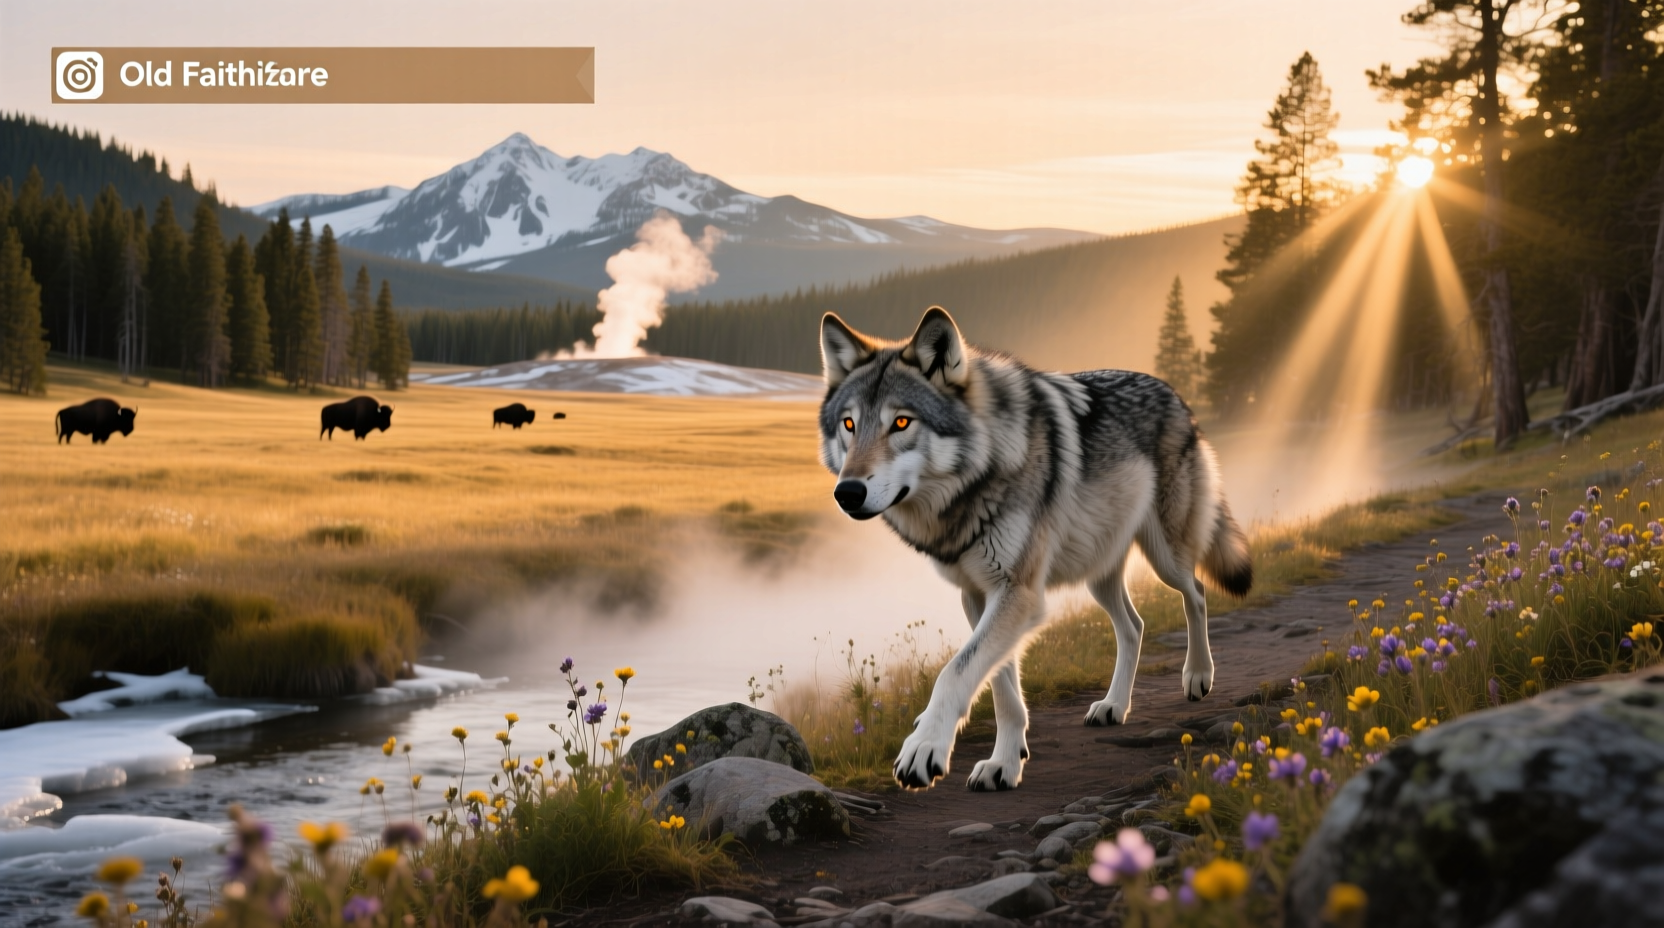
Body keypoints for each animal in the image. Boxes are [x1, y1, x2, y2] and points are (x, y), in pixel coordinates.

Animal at [819, 307, 1252, 791]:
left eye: (900, 422)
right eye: (849, 424)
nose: (847, 492)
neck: (980, 477)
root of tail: (1173, 393)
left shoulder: (1017, 592)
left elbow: (954, 673)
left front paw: (925, 748)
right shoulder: (980, 595)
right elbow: (1001, 687)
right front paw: (1005, 764)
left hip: (1165, 557)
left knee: (1196, 592)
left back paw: (1197, 675)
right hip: (1098, 573)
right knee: (1135, 626)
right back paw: (1113, 706)